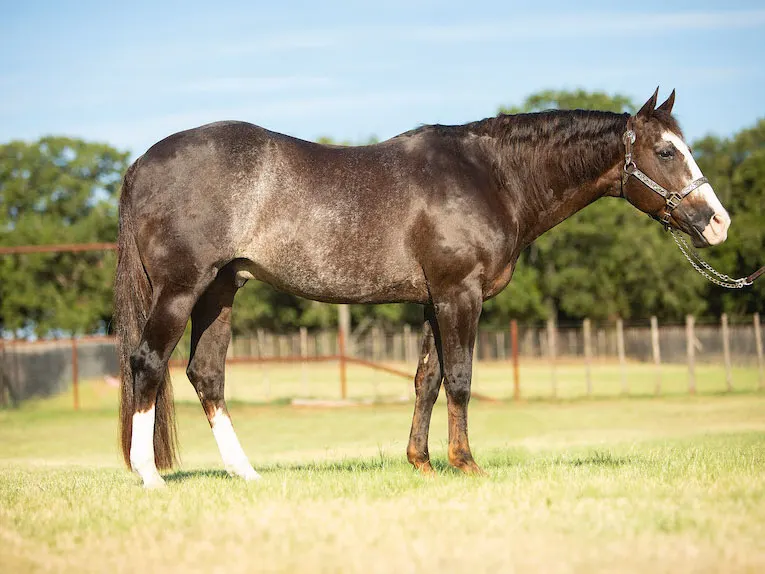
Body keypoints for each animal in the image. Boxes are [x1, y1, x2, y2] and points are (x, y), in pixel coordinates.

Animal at [115, 88, 730, 488]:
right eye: (667, 151)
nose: (717, 221)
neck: (492, 177)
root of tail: (142, 162)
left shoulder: (434, 300)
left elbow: (426, 380)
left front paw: (422, 462)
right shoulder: (461, 295)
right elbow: (459, 378)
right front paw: (466, 463)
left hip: (222, 289)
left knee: (206, 375)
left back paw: (246, 473)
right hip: (182, 288)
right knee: (148, 362)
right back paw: (149, 475)